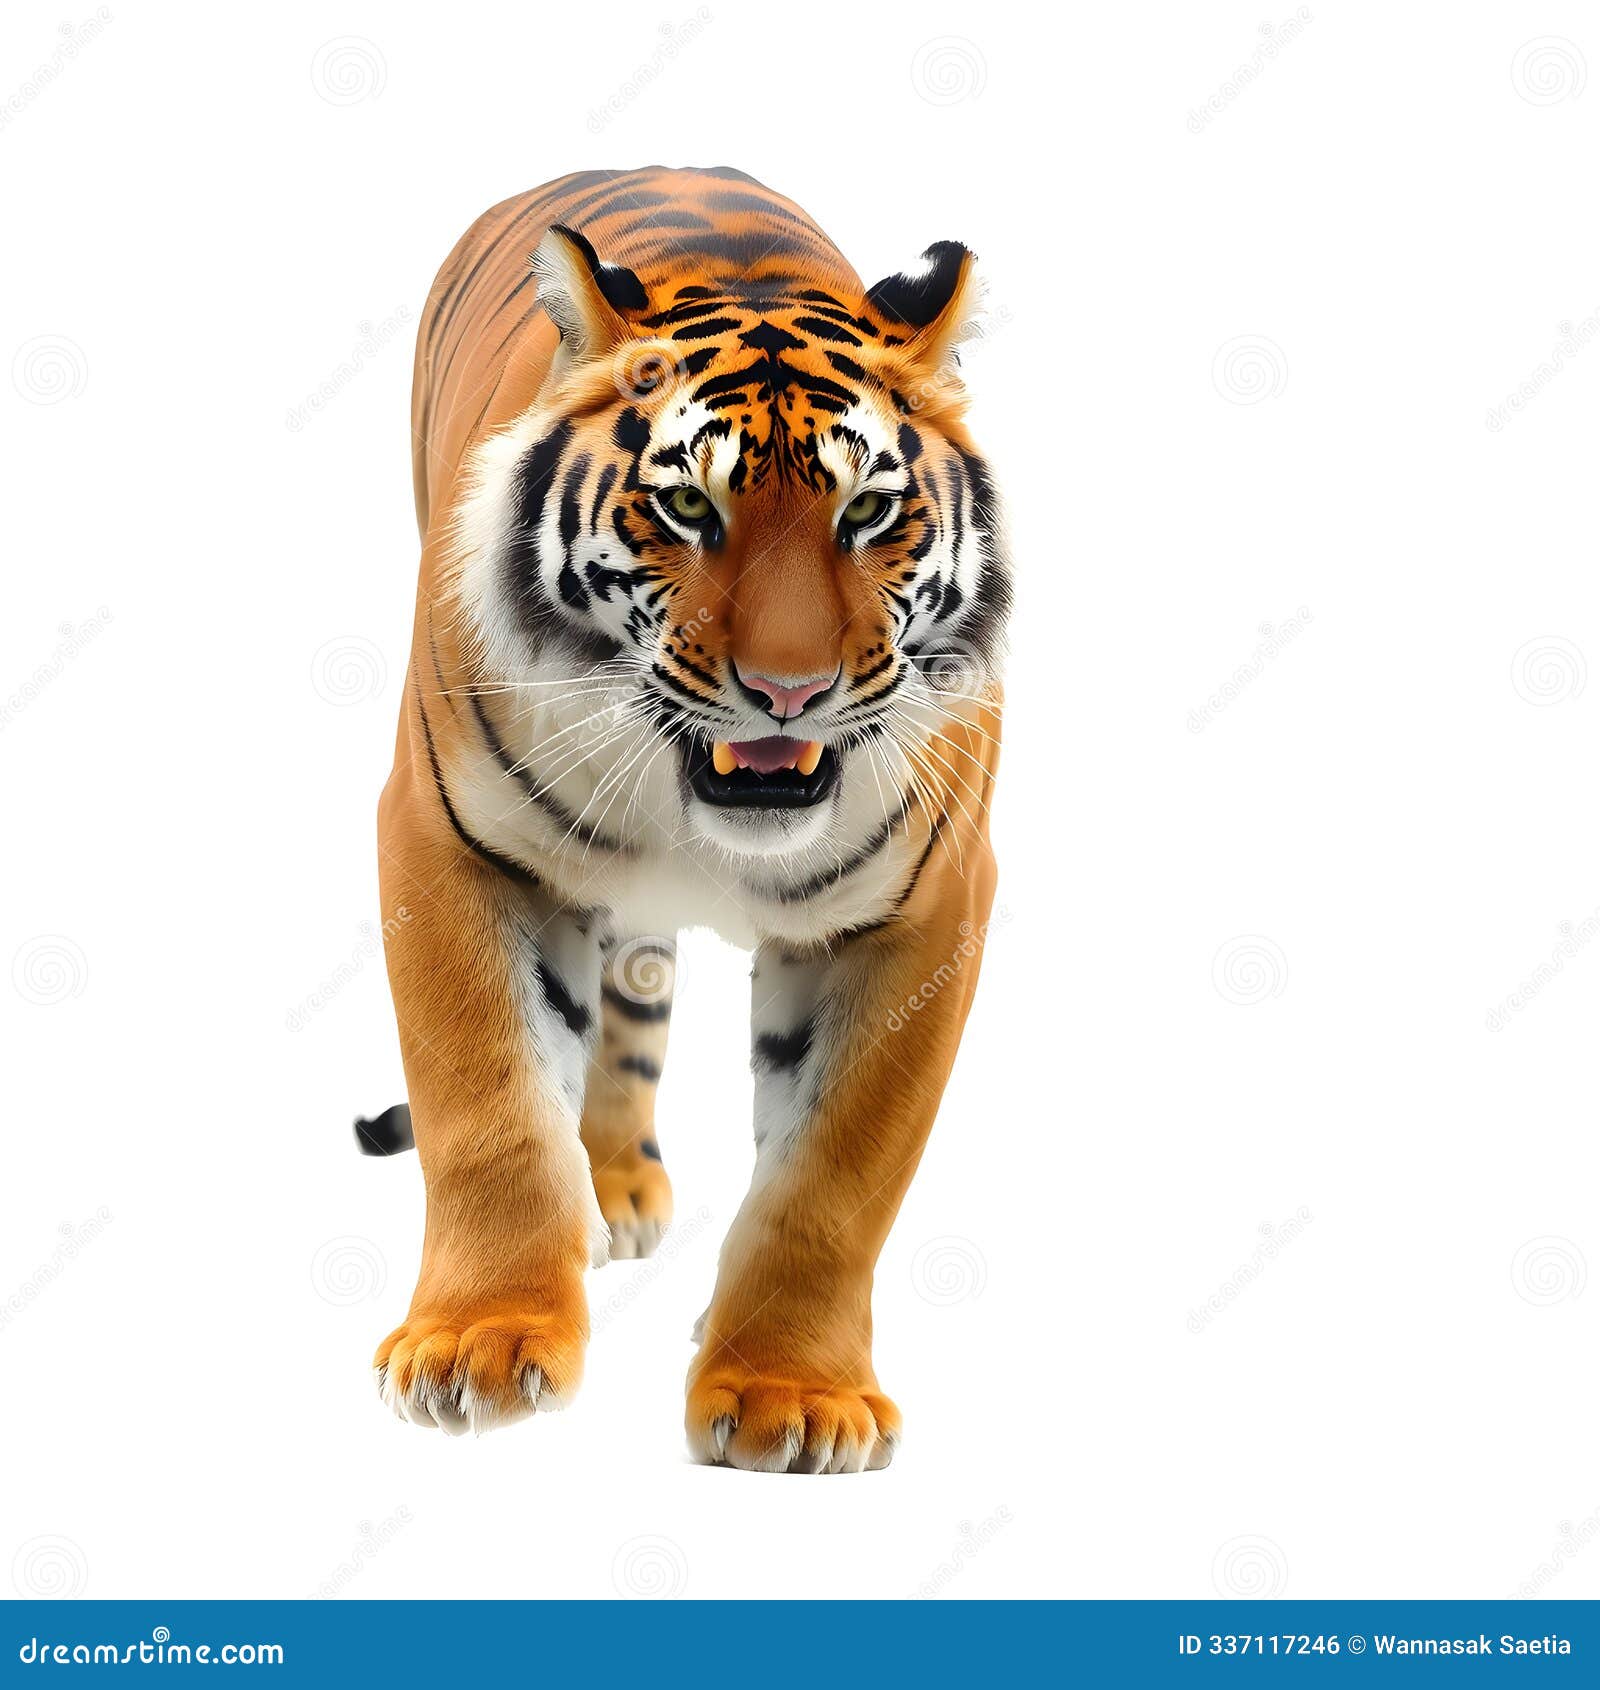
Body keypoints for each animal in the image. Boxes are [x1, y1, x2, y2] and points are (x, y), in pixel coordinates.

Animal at [360, 165, 1010, 1473]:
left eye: (870, 512)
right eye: (684, 508)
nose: (789, 690)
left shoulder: (923, 908)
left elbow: (834, 1176)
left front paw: (789, 1394)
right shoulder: (449, 843)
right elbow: (488, 1109)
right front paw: (476, 1347)